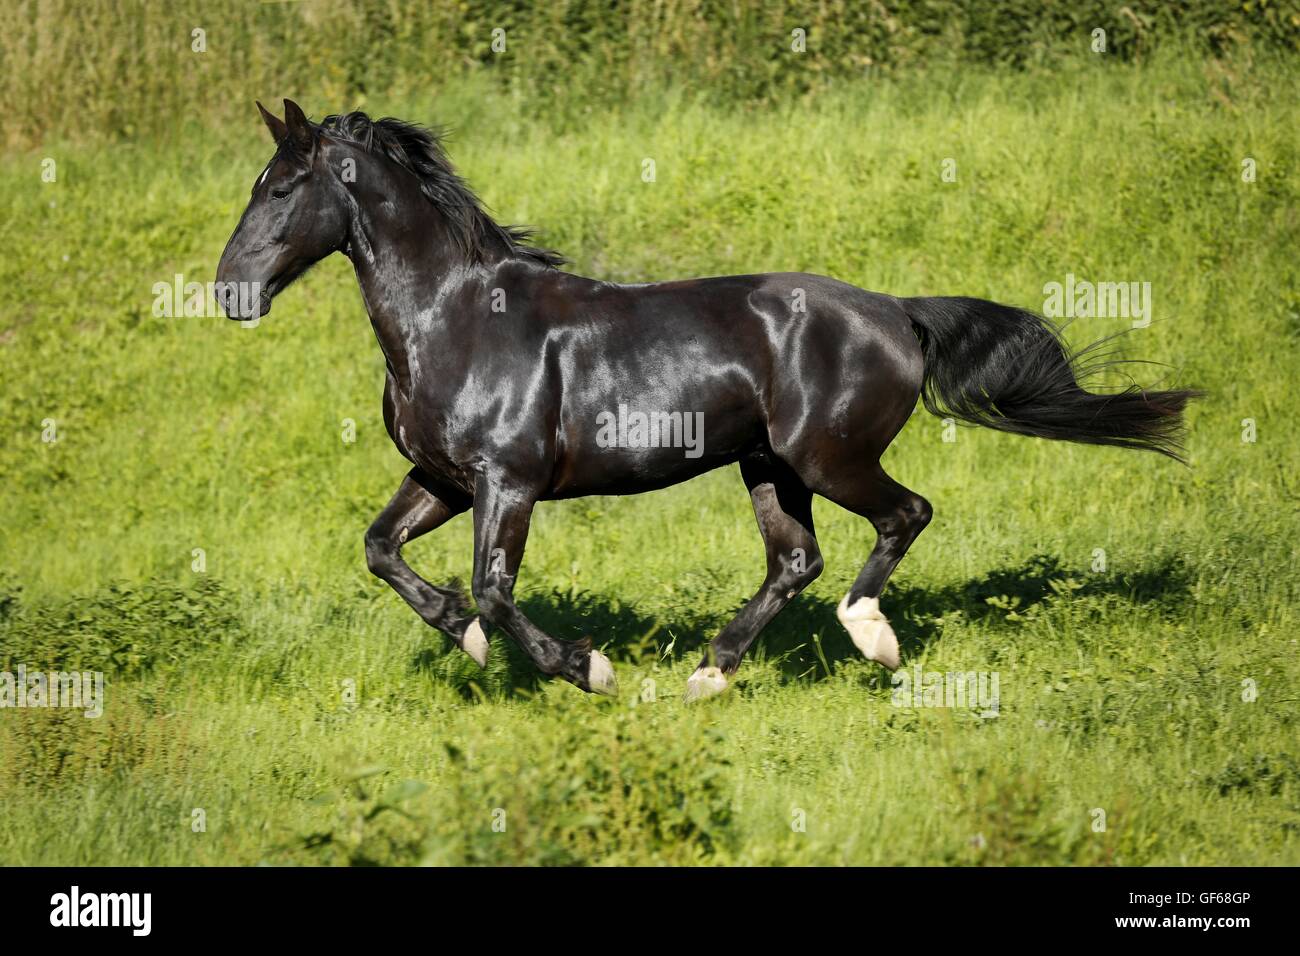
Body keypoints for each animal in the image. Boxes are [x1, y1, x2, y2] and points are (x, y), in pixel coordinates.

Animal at [216, 100, 1197, 701]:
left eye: (282, 186)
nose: (229, 292)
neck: (454, 319)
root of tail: (897, 312)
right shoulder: (444, 480)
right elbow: (382, 551)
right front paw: (462, 637)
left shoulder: (508, 483)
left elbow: (494, 590)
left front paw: (588, 669)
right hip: (767, 466)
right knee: (795, 560)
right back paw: (709, 674)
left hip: (826, 456)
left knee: (902, 516)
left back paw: (869, 636)